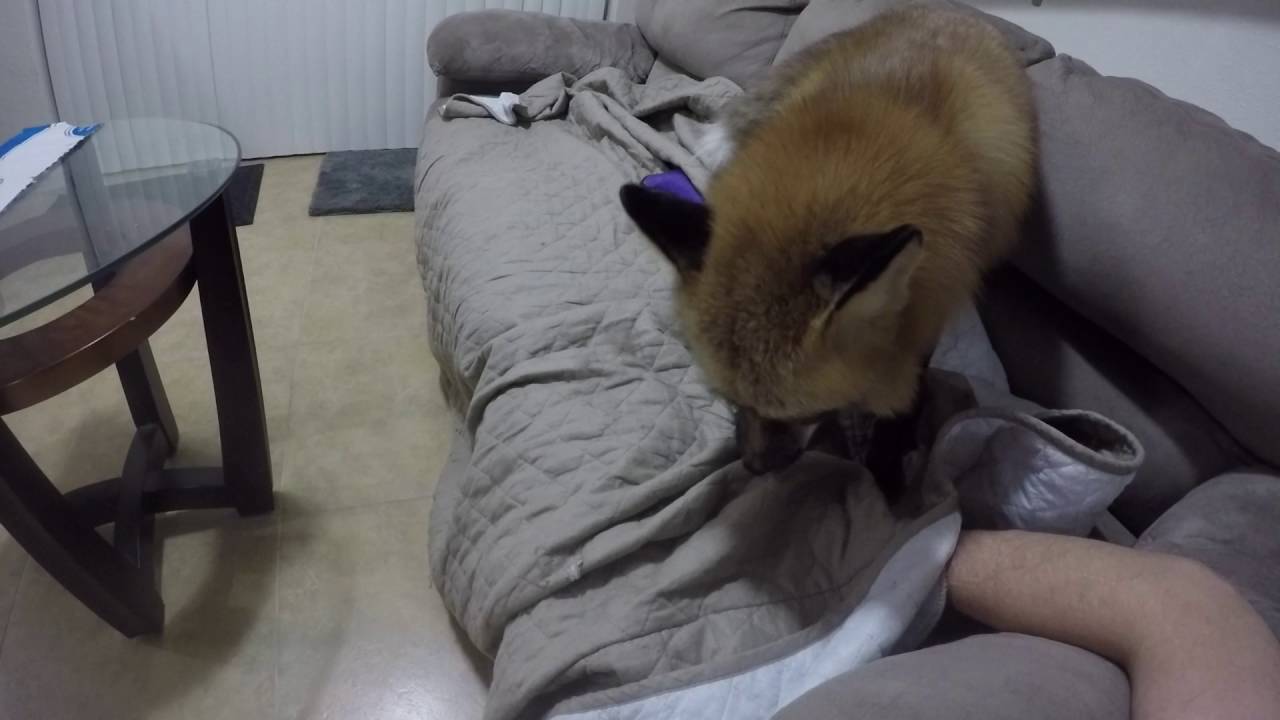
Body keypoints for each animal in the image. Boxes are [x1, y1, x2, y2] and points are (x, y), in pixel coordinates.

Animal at [619, 6, 1036, 482]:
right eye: (732, 399)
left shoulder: (937, 295)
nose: (754, 469)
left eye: (802, 414)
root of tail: (949, 9)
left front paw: (889, 462)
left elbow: (910, 381)